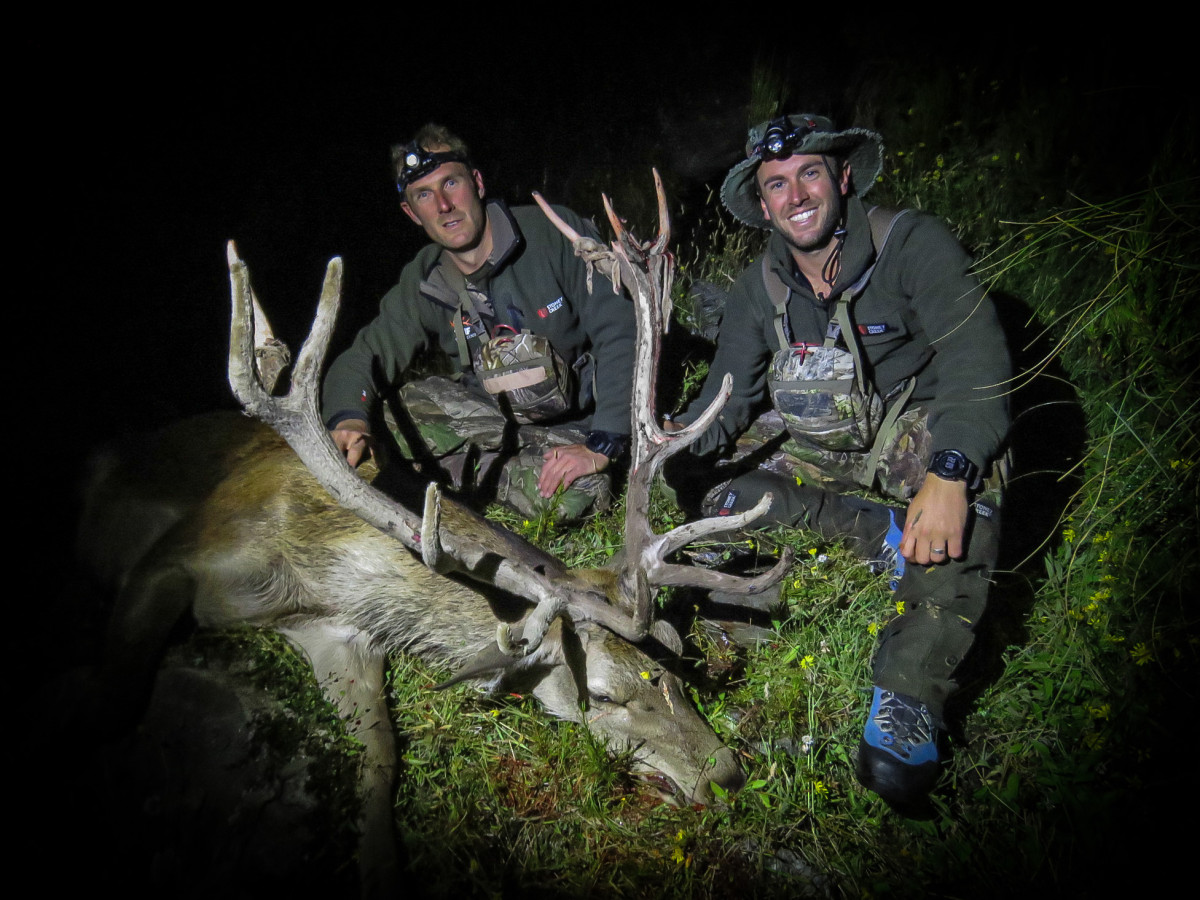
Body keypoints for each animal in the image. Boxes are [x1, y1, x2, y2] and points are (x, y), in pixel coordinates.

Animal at [76, 172, 792, 897]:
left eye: (671, 671)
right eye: (603, 695)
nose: (726, 773)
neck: (315, 571)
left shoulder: (340, 638)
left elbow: (380, 760)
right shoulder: (176, 555)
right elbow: (110, 704)